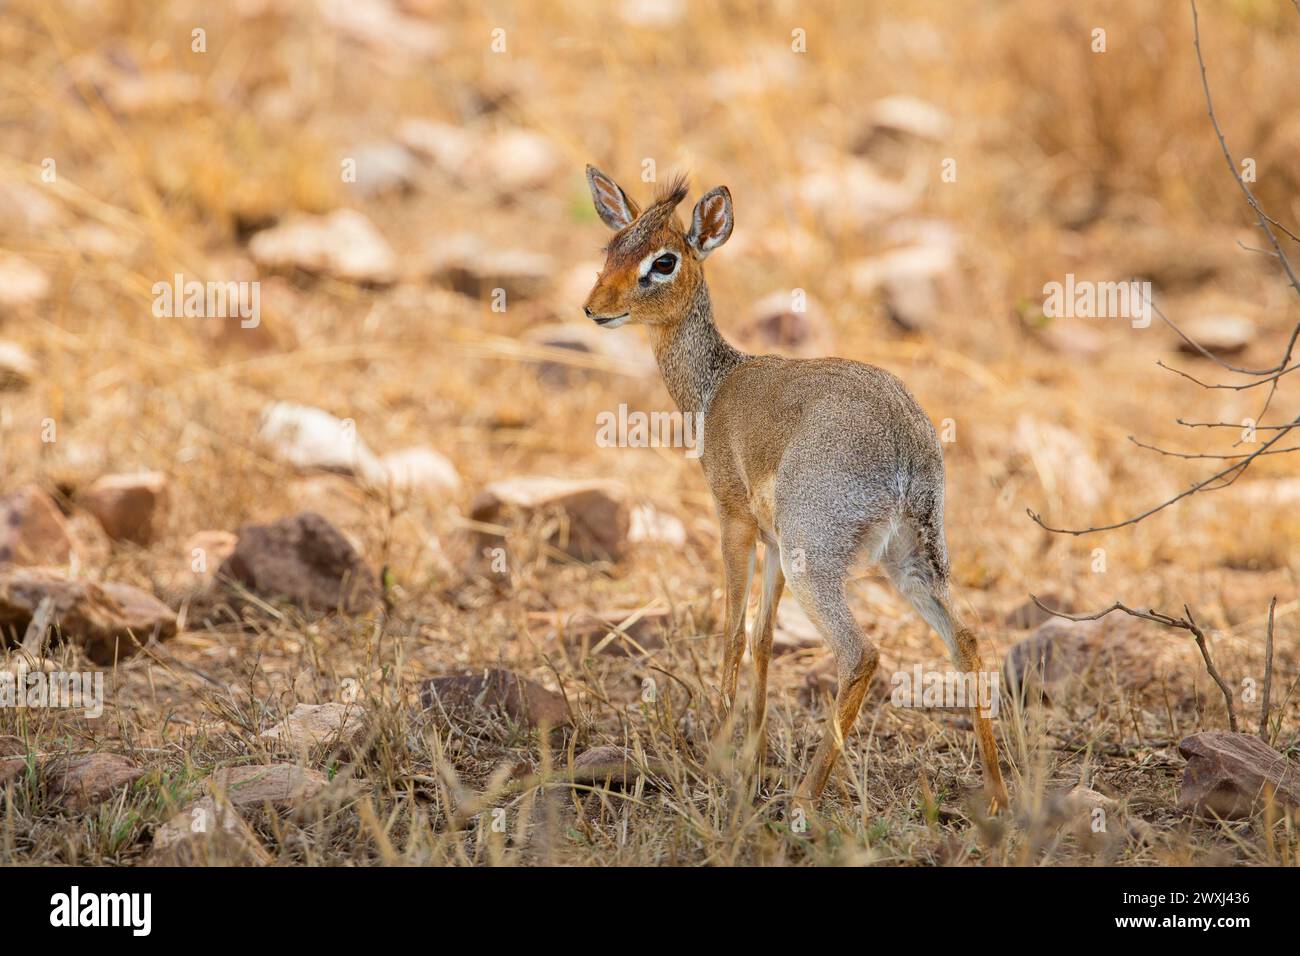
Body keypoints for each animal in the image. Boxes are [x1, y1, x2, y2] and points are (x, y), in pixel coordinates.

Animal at [581, 166, 1010, 811]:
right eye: (613, 246)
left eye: (664, 261)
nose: (594, 308)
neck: (716, 384)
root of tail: (906, 443)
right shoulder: (774, 544)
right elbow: (762, 640)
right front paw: (751, 759)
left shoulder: (733, 522)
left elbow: (733, 634)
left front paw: (718, 761)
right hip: (910, 557)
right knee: (967, 637)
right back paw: (998, 796)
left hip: (819, 559)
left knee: (862, 653)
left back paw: (805, 799)